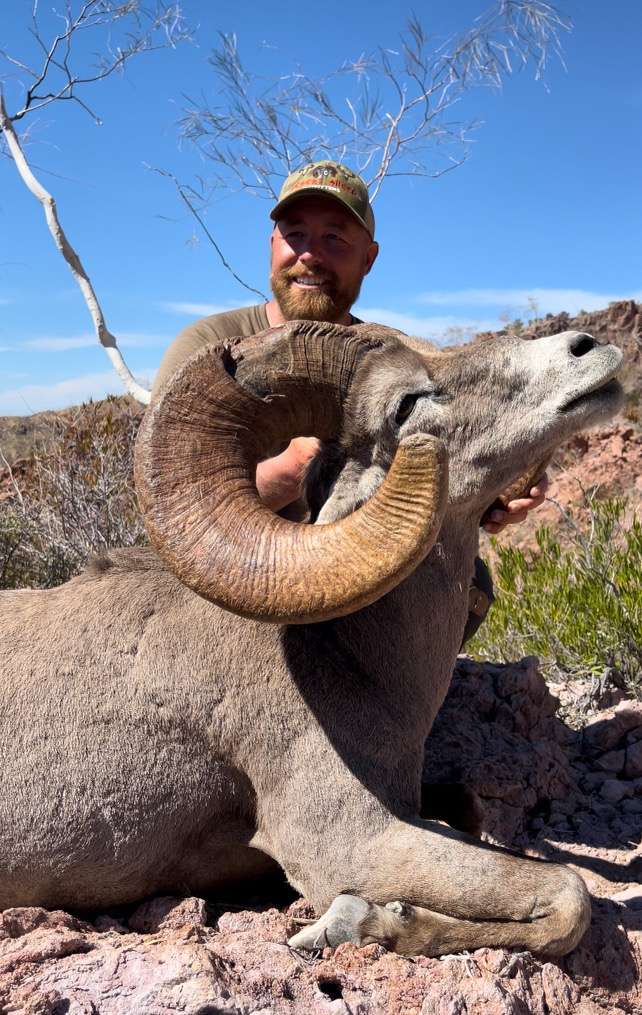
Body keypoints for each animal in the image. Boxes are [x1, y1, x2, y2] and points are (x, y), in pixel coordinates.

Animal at [0, 319, 623, 957]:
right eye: (406, 403)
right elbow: (570, 894)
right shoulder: (350, 842)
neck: (347, 660)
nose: (586, 347)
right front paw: (362, 920)